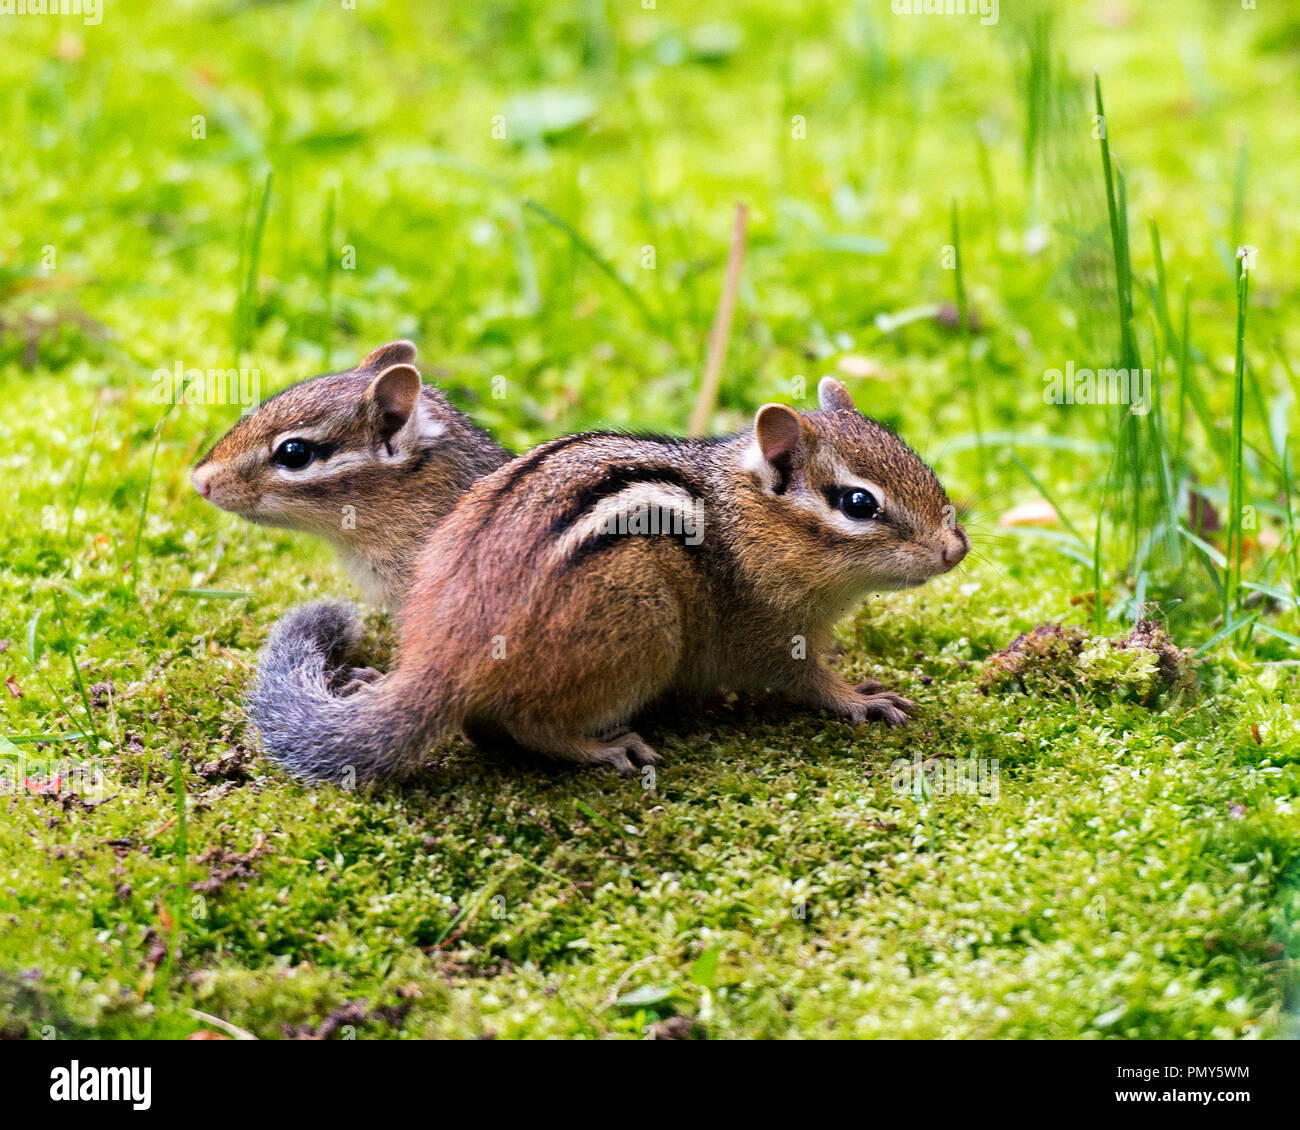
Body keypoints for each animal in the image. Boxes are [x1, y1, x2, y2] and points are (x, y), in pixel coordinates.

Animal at [248, 376, 969, 783]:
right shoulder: (771, 632)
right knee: (526, 724)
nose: (956, 548)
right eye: (858, 504)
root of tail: (445, 656)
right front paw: (859, 699)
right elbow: (808, 681)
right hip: (640, 631)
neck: (747, 521)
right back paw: (601, 749)